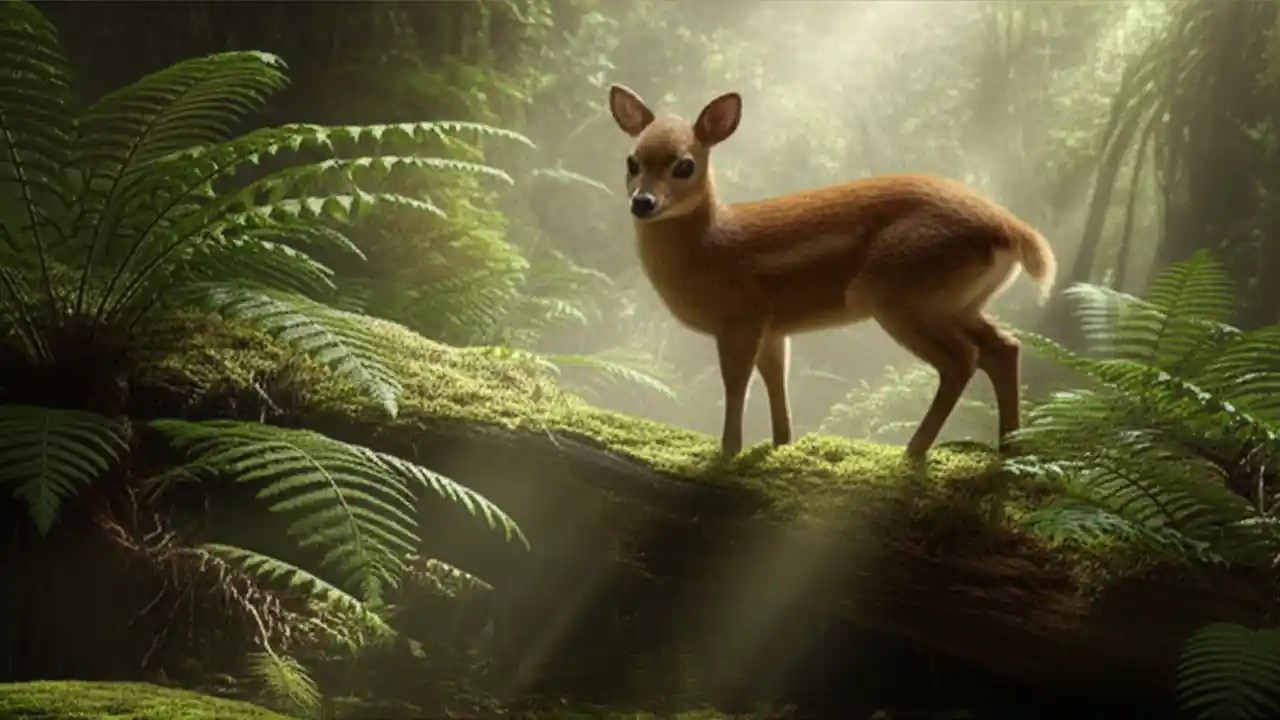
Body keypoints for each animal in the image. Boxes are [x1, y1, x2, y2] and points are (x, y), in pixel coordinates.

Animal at [606, 84, 1057, 461]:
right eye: (631, 161)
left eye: (684, 166)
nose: (642, 202)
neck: (709, 246)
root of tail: (1012, 230)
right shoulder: (773, 325)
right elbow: (775, 379)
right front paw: (779, 444)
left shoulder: (741, 316)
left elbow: (736, 383)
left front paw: (727, 451)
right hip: (960, 301)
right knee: (1004, 347)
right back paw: (1009, 451)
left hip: (902, 291)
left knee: (962, 359)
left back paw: (913, 451)